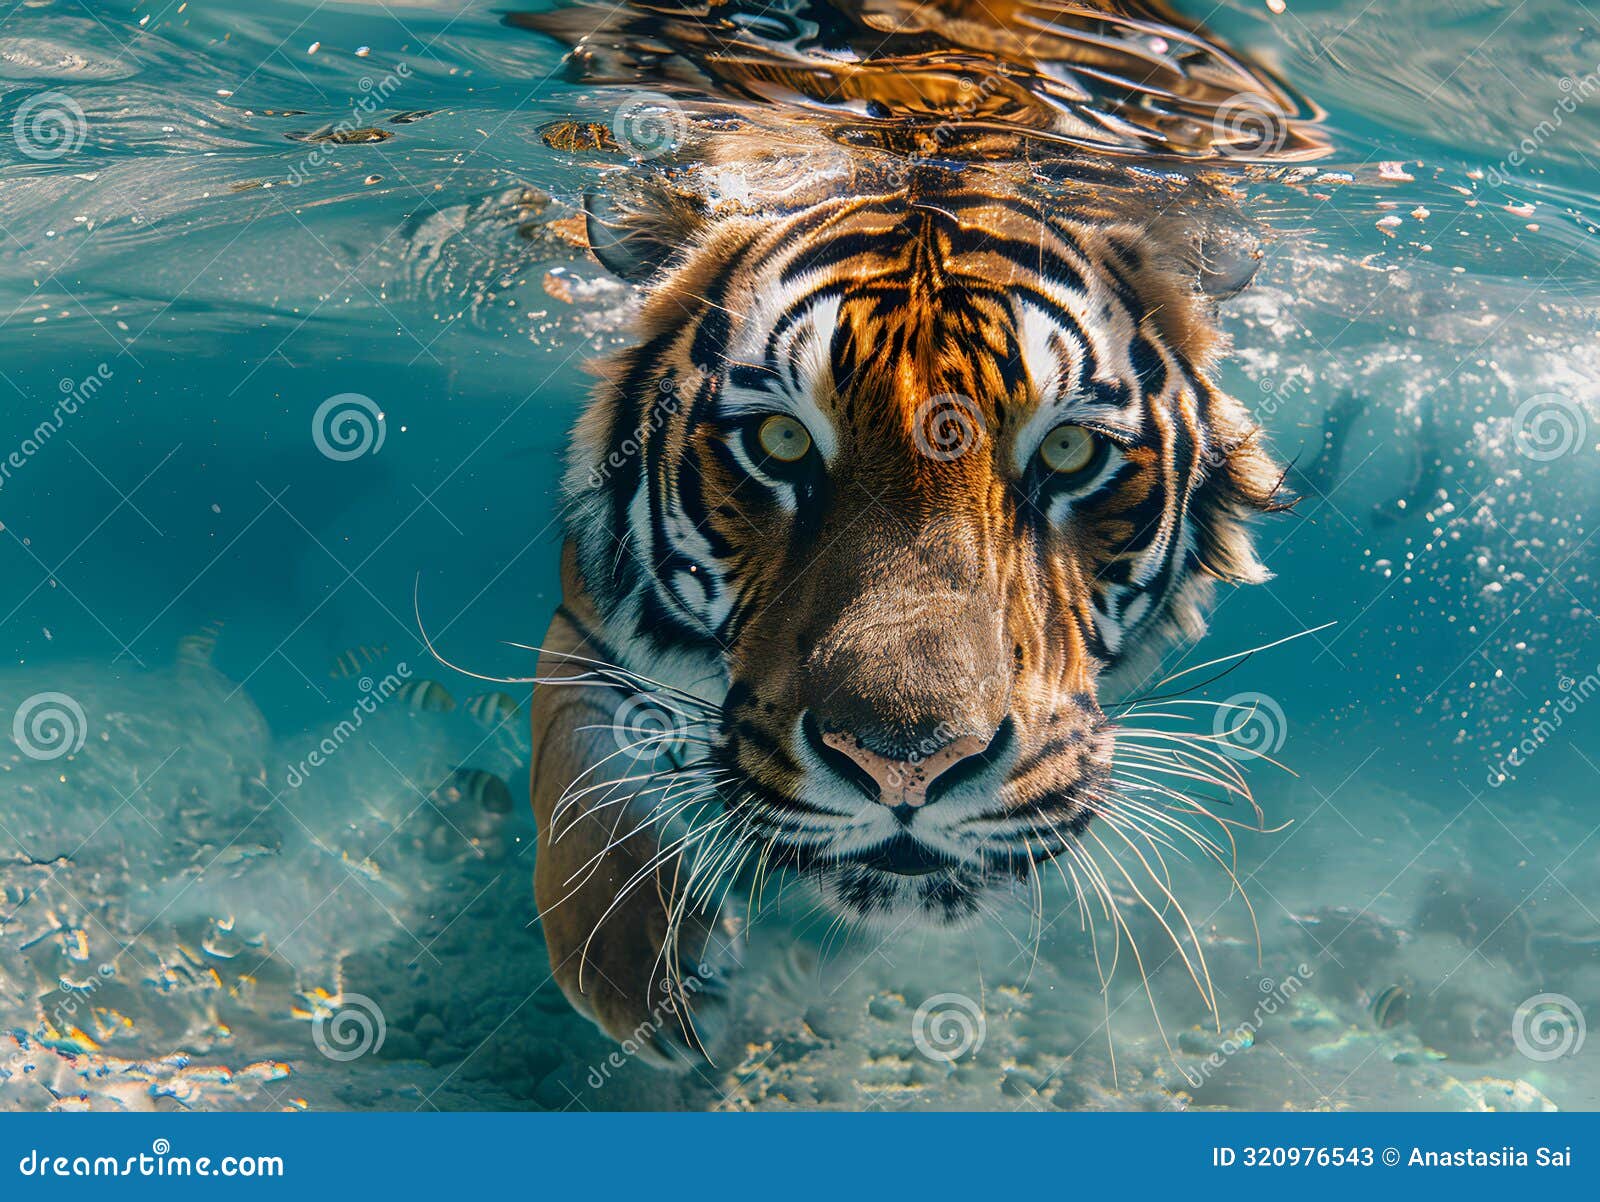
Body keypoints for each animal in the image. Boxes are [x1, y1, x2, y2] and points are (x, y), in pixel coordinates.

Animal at [519, 0, 1322, 1063]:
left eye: (1069, 451)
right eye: (780, 440)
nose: (908, 765)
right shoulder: (587, 616)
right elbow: (576, 758)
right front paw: (644, 974)